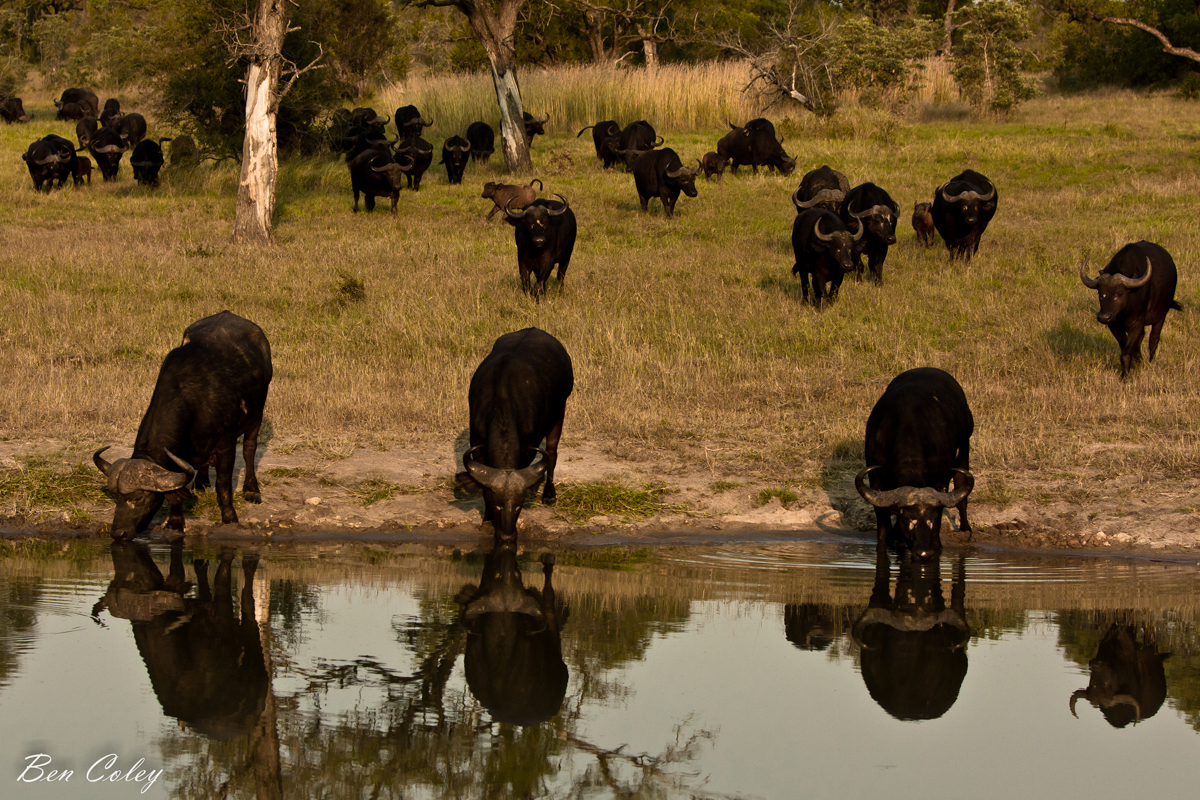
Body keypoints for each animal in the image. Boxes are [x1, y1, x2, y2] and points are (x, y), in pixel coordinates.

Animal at [93, 311, 272, 538]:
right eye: (116, 498)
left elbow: (223, 484)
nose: (119, 533)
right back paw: (202, 482)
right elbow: (177, 494)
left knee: (250, 449)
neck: (195, 398)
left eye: (139, 498)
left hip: (257, 414)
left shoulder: (226, 444)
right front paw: (175, 523)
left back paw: (251, 489)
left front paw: (229, 517)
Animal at [457, 328, 574, 542]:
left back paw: (549, 495)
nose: (507, 536)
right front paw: (487, 519)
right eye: (496, 504)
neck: (501, 400)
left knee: (553, 453)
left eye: (519, 505)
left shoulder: (528, 449)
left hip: (561, 410)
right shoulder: (476, 442)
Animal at [856, 367, 975, 561]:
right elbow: (884, 528)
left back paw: (966, 530)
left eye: (933, 520)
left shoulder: (940, 483)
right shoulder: (876, 483)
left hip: (964, 453)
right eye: (907, 519)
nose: (924, 553)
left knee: (961, 492)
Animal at [1079, 241, 1181, 379]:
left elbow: (1126, 353)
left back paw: (1150, 362)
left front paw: (1125, 376)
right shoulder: (1113, 325)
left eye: (1119, 293)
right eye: (1100, 294)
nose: (1103, 317)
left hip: (1161, 316)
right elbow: (1126, 345)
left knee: (1154, 339)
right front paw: (1133, 365)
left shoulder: (1136, 324)